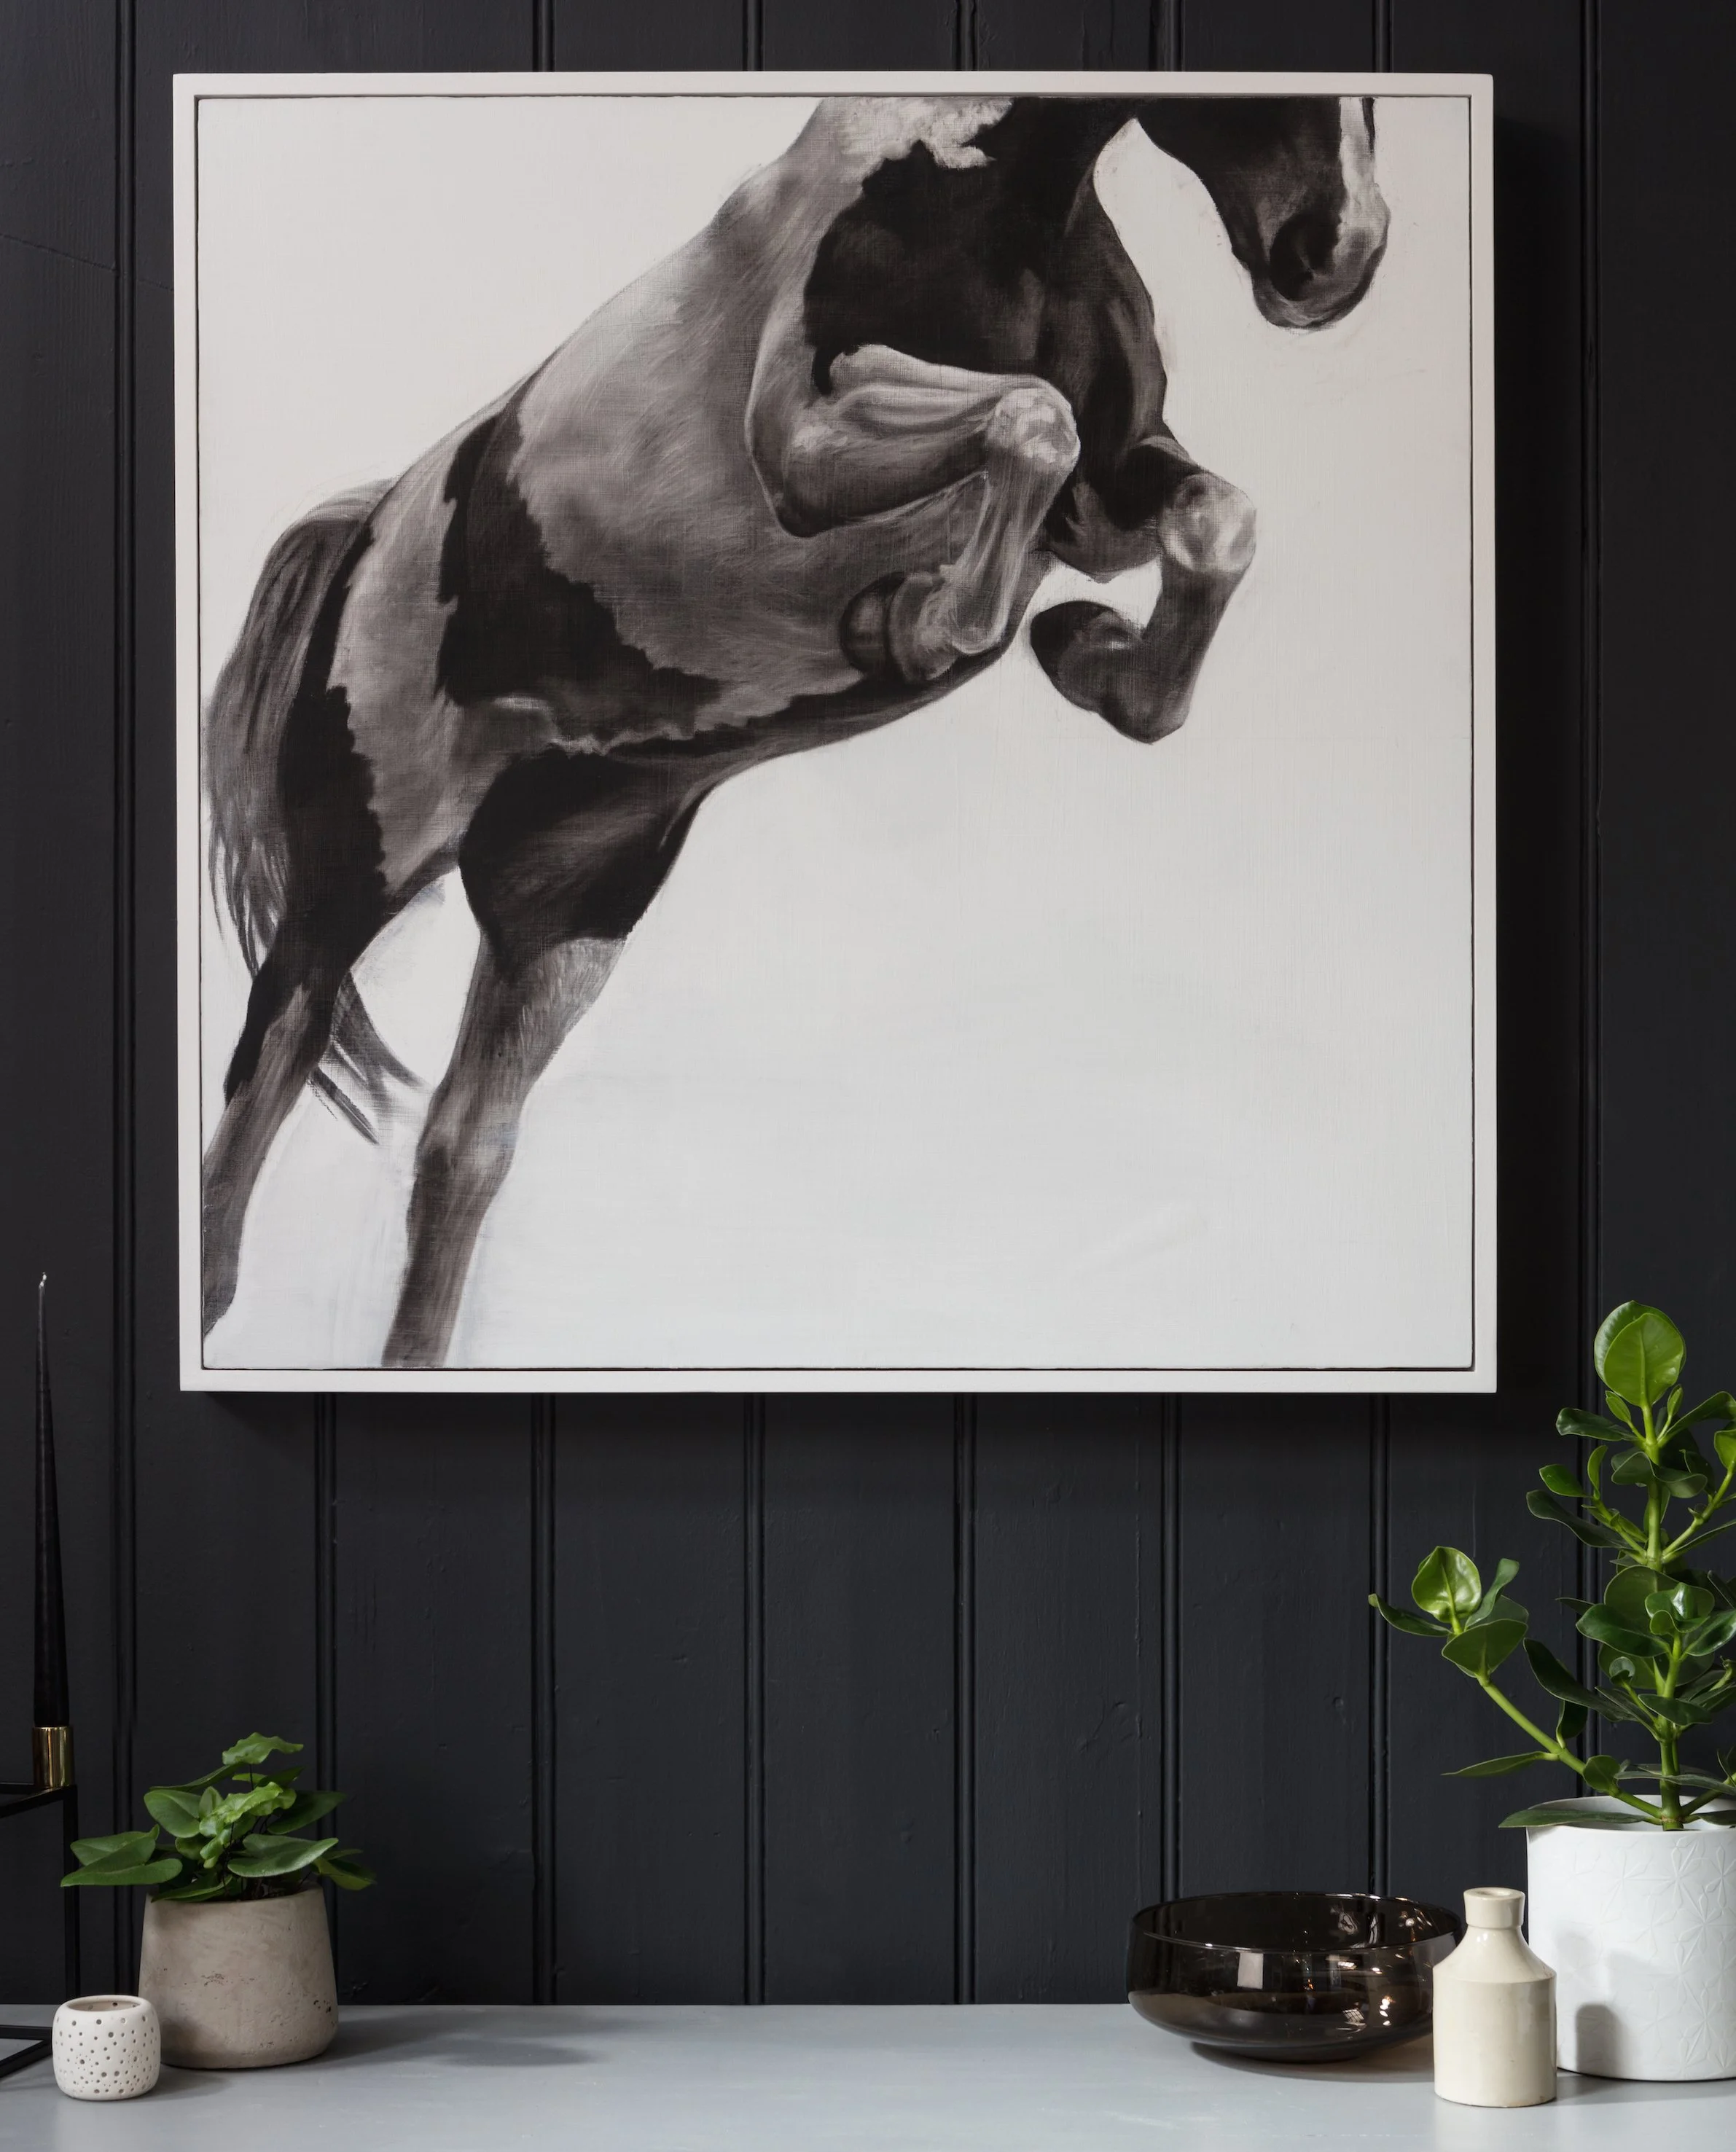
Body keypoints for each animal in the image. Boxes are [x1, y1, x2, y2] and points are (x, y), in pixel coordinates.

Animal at [200, 91, 1389, 1370]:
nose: (1331, 258)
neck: (989, 204)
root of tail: (365, 535)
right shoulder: (808, 448)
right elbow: (1031, 424)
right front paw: (911, 624)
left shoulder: (1111, 497)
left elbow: (1208, 524)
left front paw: (1086, 656)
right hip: (353, 879)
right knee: (255, 1108)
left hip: (562, 912)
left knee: (461, 1150)